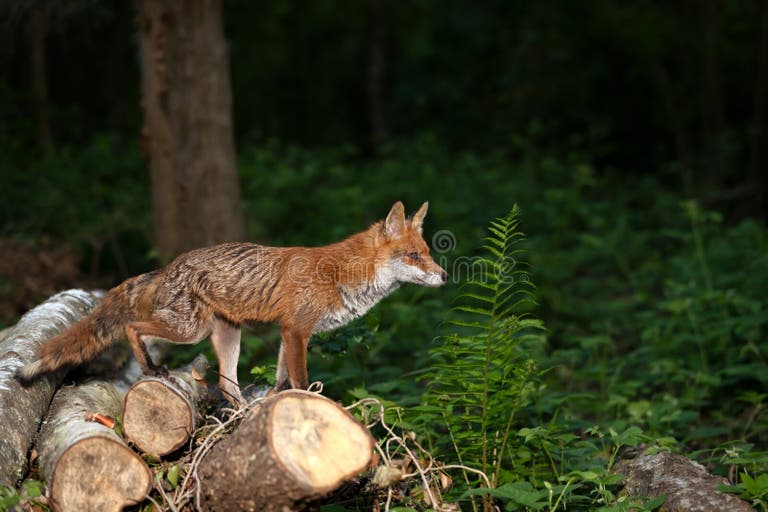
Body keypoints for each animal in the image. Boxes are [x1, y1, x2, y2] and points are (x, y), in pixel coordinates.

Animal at [17, 201, 448, 405]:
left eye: (427, 253)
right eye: (413, 256)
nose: (444, 276)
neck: (343, 274)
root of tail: (167, 266)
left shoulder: (288, 334)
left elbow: (281, 380)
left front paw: (272, 405)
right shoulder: (297, 330)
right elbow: (301, 382)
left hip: (224, 337)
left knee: (227, 386)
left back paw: (237, 411)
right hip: (188, 331)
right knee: (131, 326)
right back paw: (152, 368)